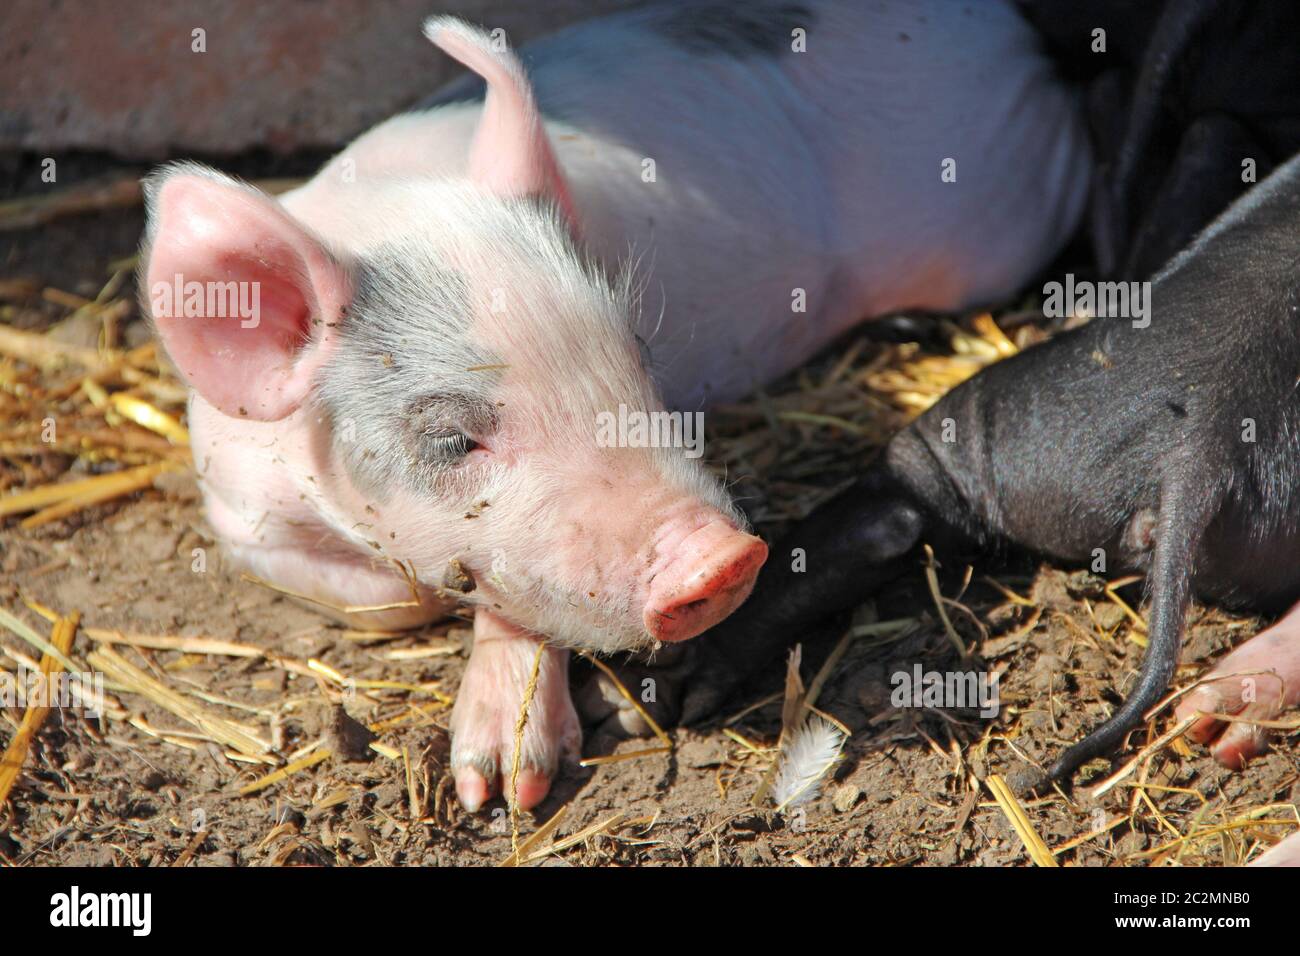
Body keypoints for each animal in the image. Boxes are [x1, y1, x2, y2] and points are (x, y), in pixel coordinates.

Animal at [141, 1, 1089, 810]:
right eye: (450, 440)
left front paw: (507, 789)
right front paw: (491, 788)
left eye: (635, 350)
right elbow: (393, 600)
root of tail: (1008, 35)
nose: (721, 561)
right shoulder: (236, 513)